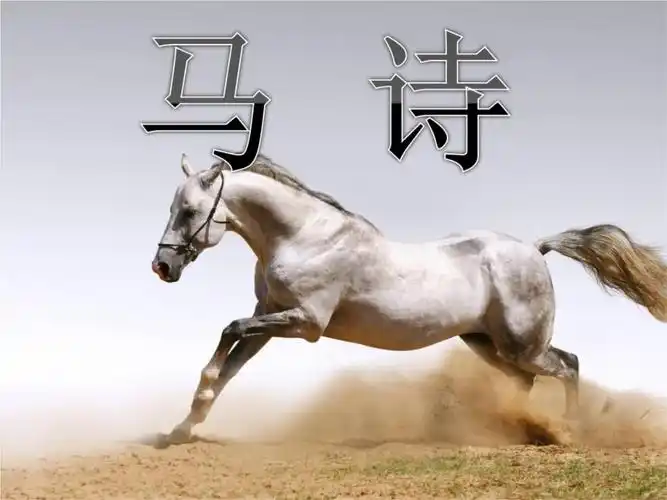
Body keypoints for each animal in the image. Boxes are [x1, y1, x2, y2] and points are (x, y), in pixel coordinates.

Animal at [151, 153, 667, 443]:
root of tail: (535, 249)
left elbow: (229, 331)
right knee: (526, 382)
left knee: (570, 365)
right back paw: (520, 428)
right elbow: (229, 363)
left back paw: (570, 432)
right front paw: (183, 427)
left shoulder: (305, 323)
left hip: (523, 344)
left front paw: (189, 415)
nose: (162, 267)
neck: (302, 237)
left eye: (190, 210)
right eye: (174, 207)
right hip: (487, 343)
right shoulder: (271, 316)